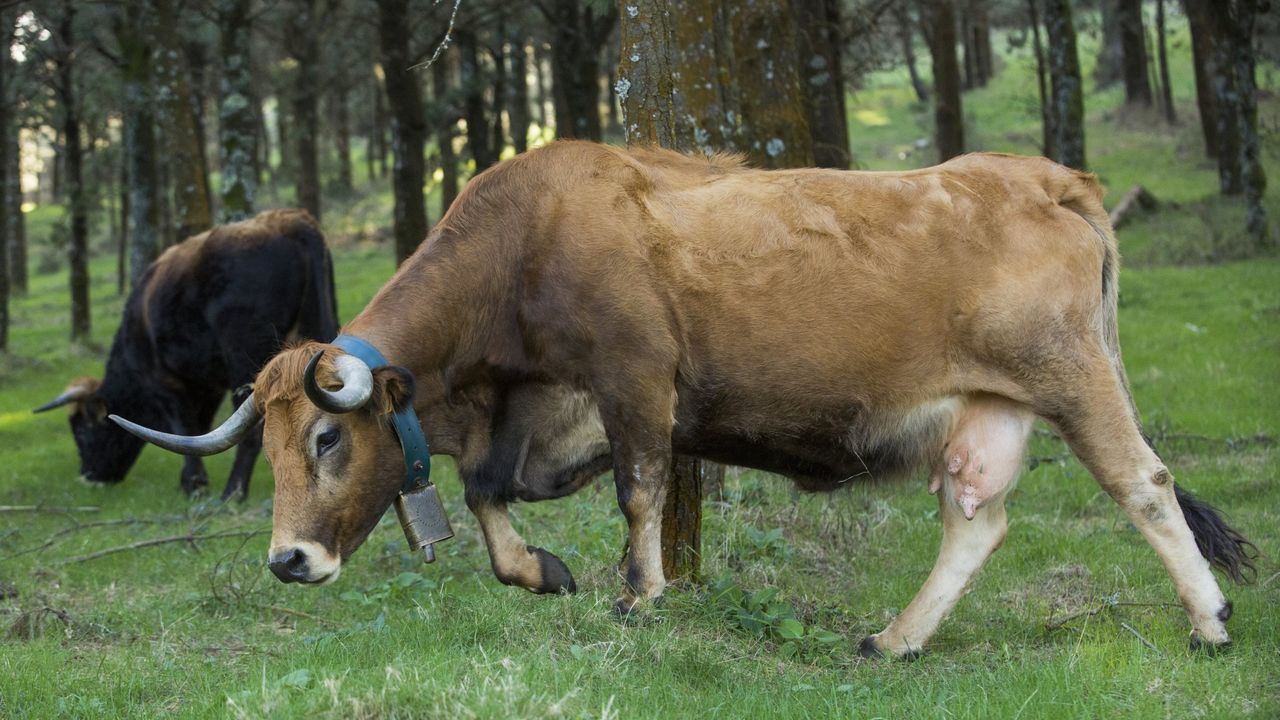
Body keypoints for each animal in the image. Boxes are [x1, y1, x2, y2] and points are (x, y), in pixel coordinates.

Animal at [36, 209, 338, 501]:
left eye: (82, 430)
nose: (88, 475)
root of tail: (290, 222)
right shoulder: (208, 385)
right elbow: (202, 433)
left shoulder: (163, 381)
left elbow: (184, 427)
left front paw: (194, 484)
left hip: (246, 359)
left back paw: (233, 492)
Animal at [113, 142, 1255, 656]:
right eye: (268, 440)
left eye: (325, 439)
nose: (287, 561)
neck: (522, 246)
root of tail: (1037, 175)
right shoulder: (535, 404)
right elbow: (486, 497)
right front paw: (544, 570)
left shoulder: (633, 383)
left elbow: (639, 492)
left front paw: (639, 593)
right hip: (986, 411)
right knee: (976, 522)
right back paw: (894, 637)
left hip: (1073, 381)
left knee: (1145, 485)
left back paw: (1207, 621)